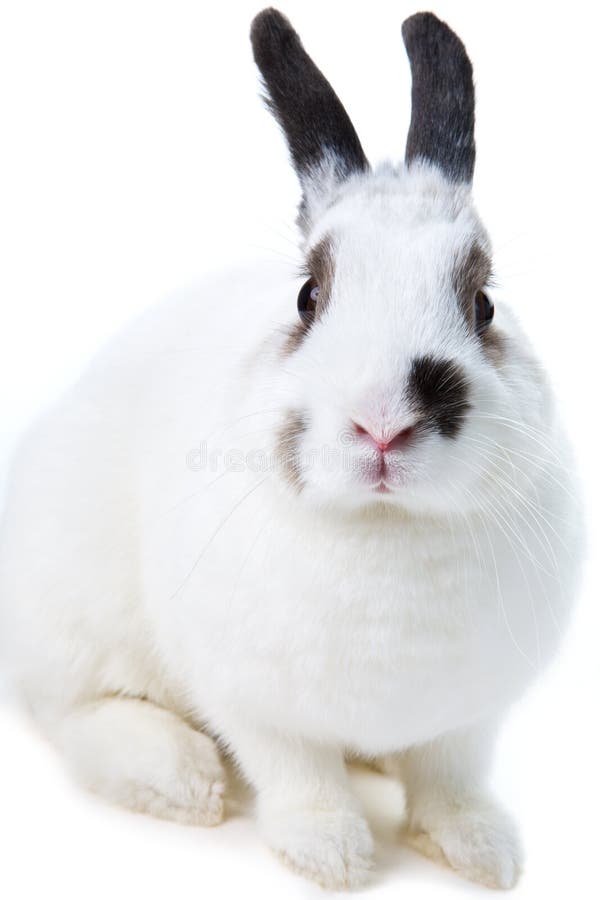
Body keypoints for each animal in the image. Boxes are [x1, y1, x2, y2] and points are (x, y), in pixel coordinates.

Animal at [0, 7, 583, 892]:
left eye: (482, 304)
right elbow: (298, 774)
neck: (386, 533)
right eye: (310, 297)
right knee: (78, 716)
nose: (383, 423)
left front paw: (484, 852)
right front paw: (332, 854)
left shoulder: (467, 720)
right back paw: (182, 776)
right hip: (72, 617)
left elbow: (448, 780)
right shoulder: (255, 705)